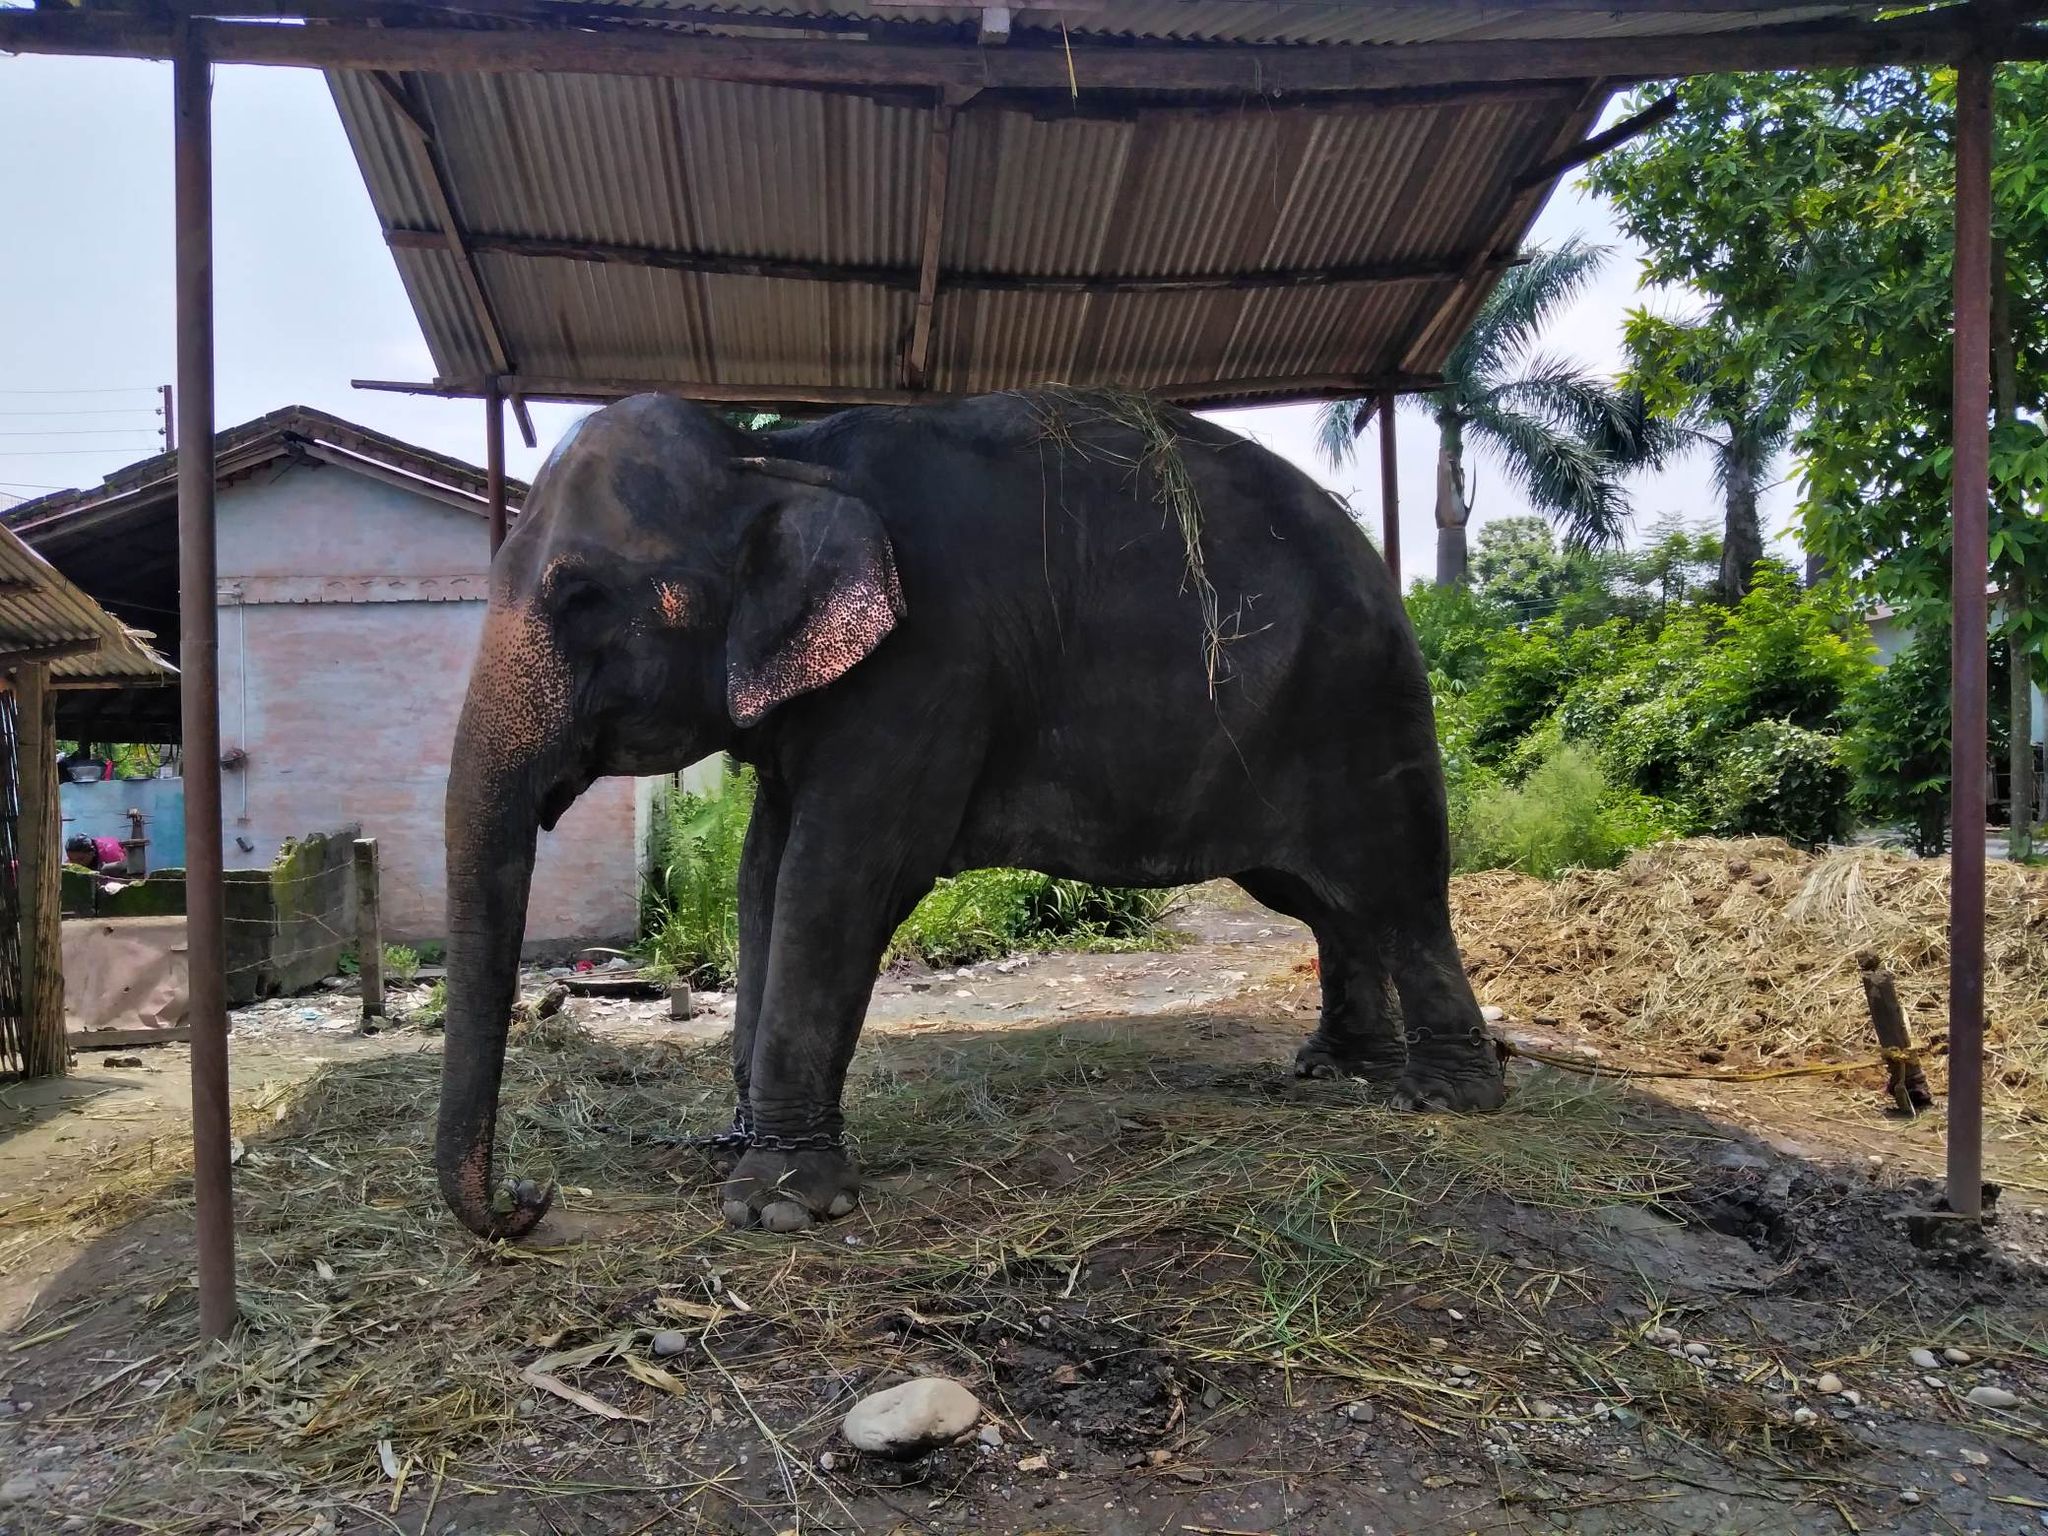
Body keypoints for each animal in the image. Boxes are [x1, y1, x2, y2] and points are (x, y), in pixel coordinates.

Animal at [440, 389, 1504, 1241]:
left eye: (582, 596)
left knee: (1397, 885)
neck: (779, 454)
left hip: (1363, 701)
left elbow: (838, 877)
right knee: (1325, 899)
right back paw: (1338, 1072)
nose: (529, 1199)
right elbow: (762, 872)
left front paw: (778, 1204)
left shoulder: (928, 669)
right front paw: (734, 1147)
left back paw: (1446, 1099)